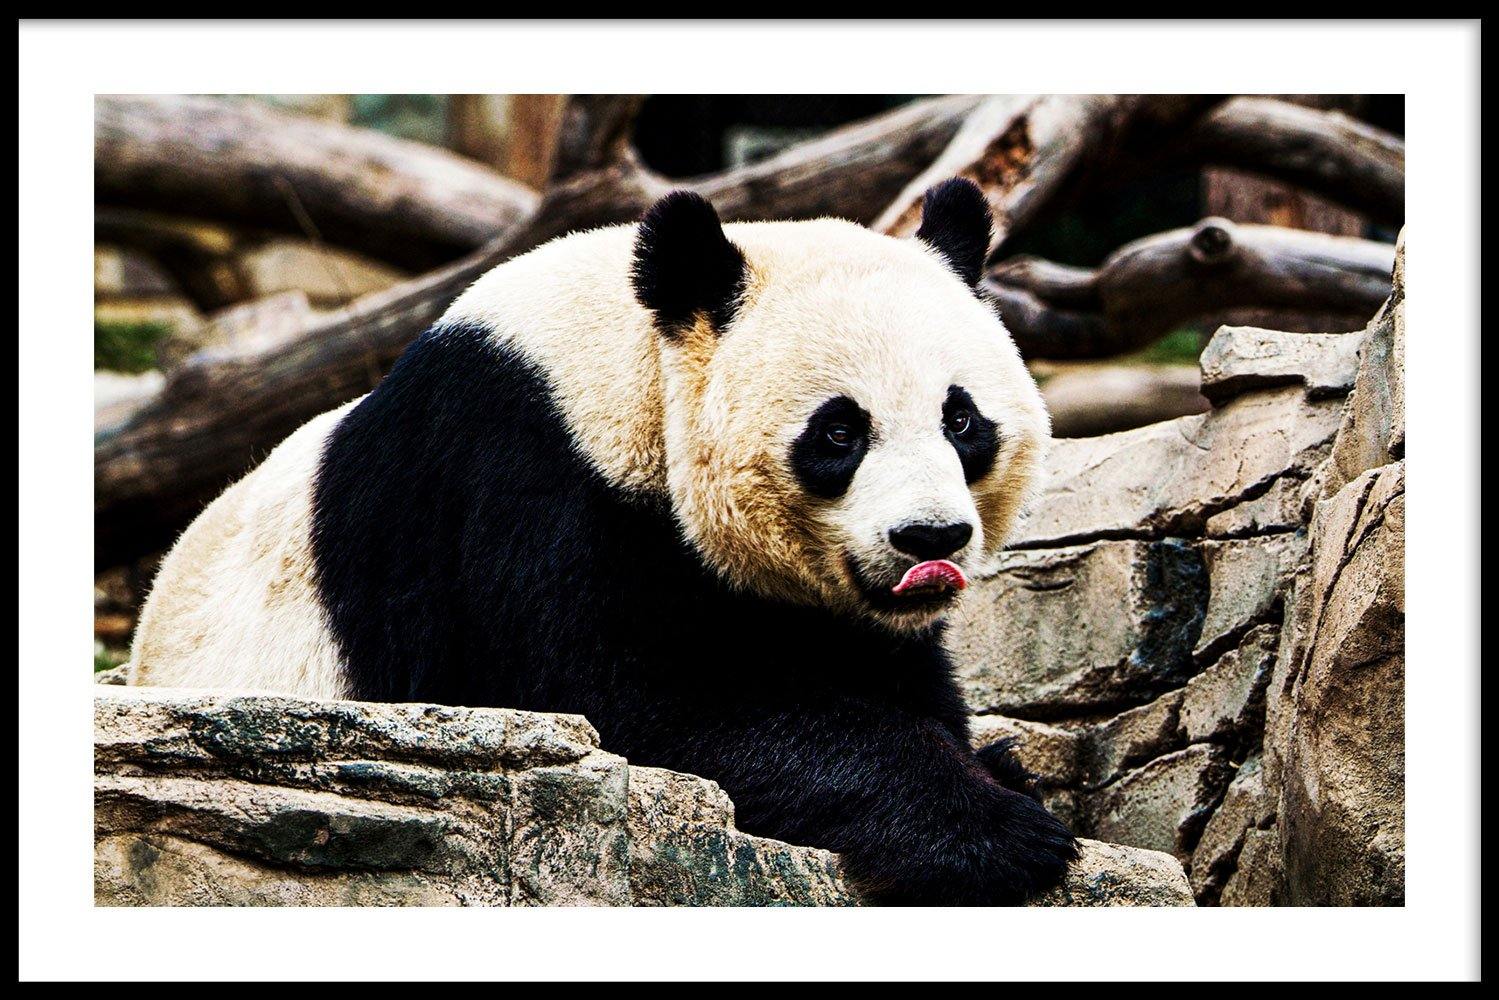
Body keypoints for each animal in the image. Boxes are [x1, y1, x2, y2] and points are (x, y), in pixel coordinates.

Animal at [129, 178, 1077, 904]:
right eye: (839, 433)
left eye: (962, 420)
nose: (930, 537)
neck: (630, 368)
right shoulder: (520, 480)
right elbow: (625, 704)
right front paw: (993, 830)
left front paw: (998, 767)